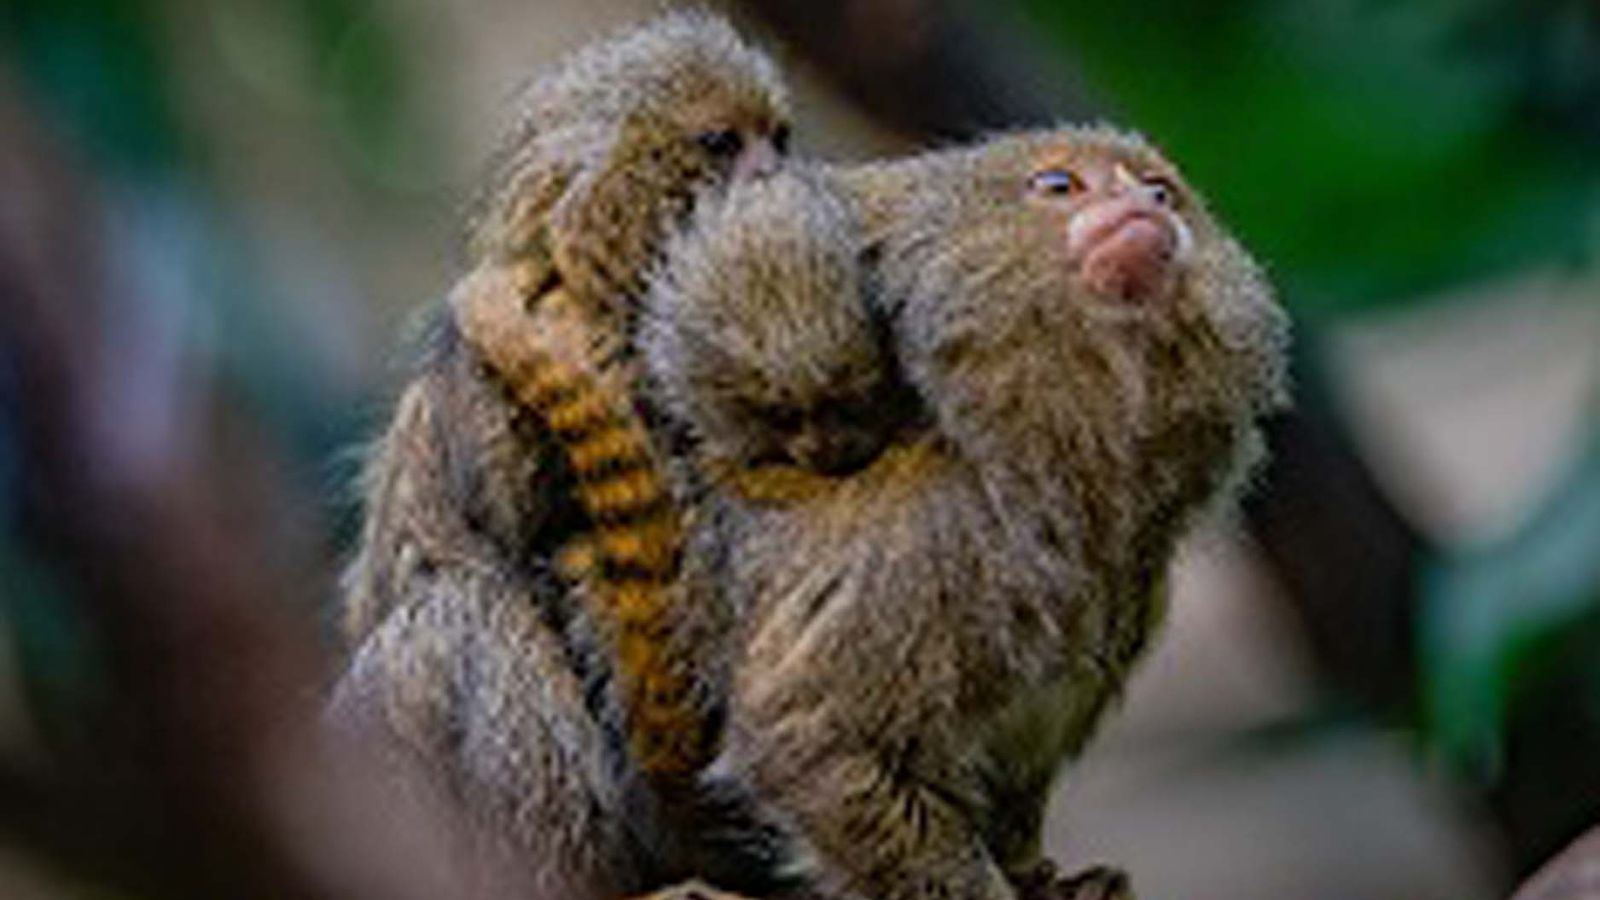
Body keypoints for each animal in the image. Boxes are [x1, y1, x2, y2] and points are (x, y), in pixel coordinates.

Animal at [327, 12, 796, 898]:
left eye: (778, 139)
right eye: (723, 143)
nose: (774, 175)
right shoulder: (494, 367)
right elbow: (504, 525)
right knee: (462, 612)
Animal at [635, 125, 1288, 900]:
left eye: (1162, 192)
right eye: (1060, 186)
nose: (1145, 206)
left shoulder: (1131, 582)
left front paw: (1048, 879)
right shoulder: (915, 559)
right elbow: (810, 738)